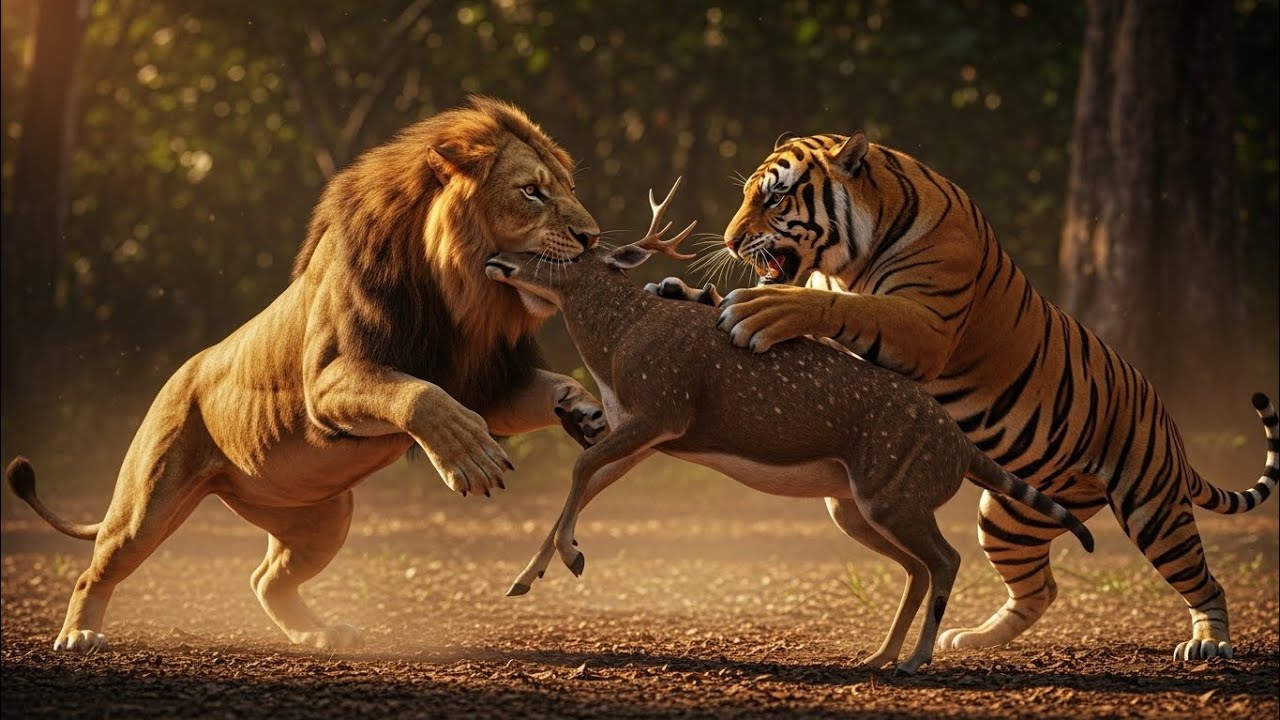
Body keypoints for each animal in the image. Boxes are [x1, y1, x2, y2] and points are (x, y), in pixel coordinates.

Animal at [5, 96, 609, 653]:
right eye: (531, 191)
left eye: (568, 186)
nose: (593, 237)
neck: (460, 295)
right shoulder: (329, 379)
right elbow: (419, 396)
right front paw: (470, 457)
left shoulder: (486, 385)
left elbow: (548, 387)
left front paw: (587, 413)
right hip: (144, 508)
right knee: (94, 570)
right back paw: (79, 634)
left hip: (323, 520)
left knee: (264, 579)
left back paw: (318, 634)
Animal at [482, 178, 1094, 675]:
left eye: (551, 253)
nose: (493, 260)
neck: (617, 343)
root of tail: (964, 450)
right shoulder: (649, 435)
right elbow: (585, 481)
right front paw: (526, 577)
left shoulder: (664, 407)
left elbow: (582, 464)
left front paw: (571, 558)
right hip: (854, 504)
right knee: (918, 568)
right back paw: (878, 655)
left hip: (897, 491)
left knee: (945, 559)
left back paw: (915, 659)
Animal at [650, 131, 1279, 661]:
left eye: (776, 199)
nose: (731, 240)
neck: (851, 257)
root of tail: (1168, 421)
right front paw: (681, 289)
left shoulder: (921, 325)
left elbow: (844, 307)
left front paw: (761, 311)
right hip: (1007, 518)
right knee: (1039, 588)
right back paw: (971, 639)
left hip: (1154, 510)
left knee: (1205, 580)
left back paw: (1209, 643)